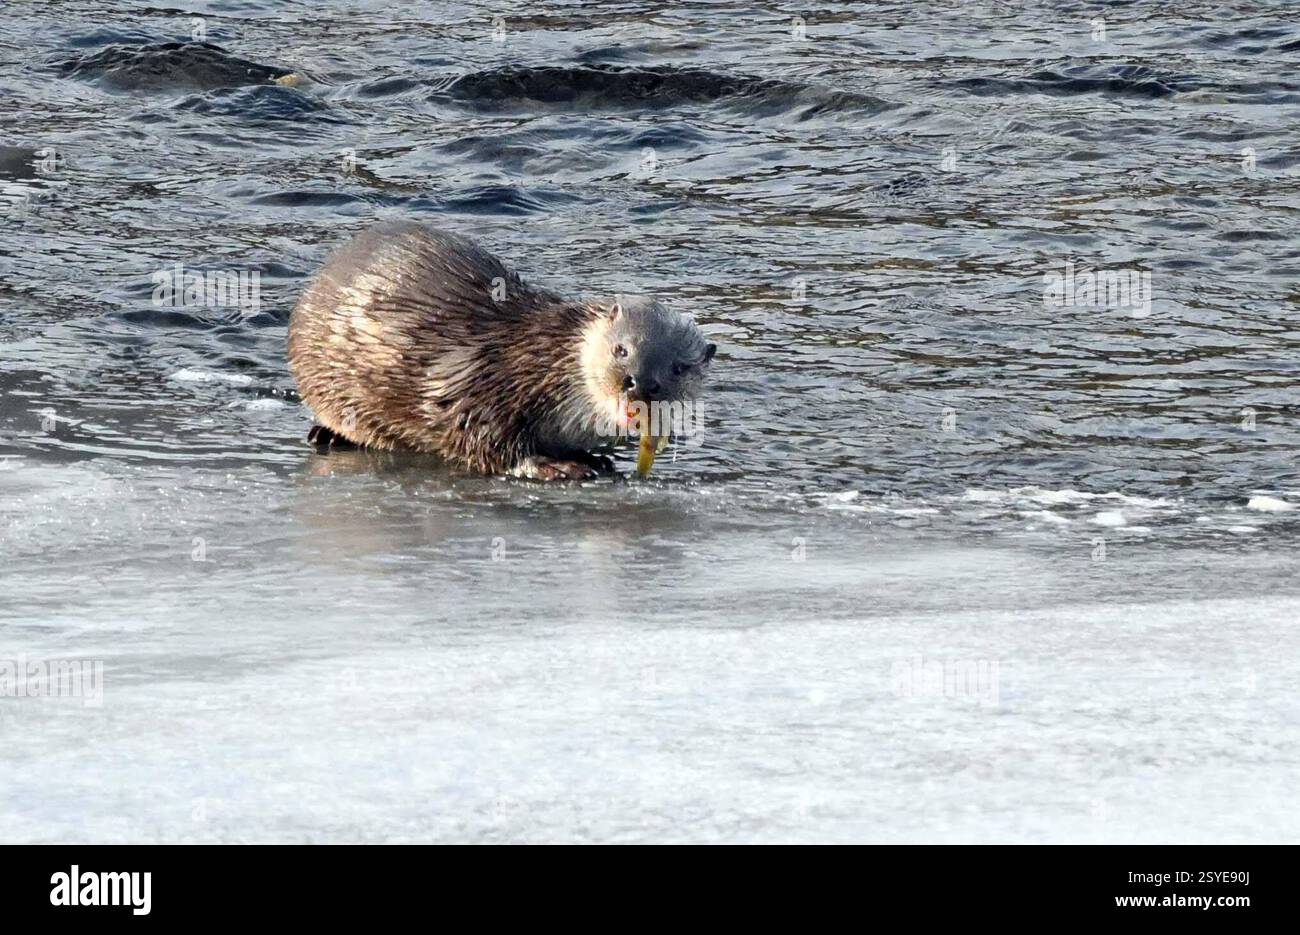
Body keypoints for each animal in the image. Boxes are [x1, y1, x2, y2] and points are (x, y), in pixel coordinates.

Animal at [287, 222, 715, 479]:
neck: (541, 361)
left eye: (678, 368)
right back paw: (327, 435)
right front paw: (555, 466)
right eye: (621, 350)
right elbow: (486, 442)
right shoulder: (484, 386)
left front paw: (593, 458)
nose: (639, 384)